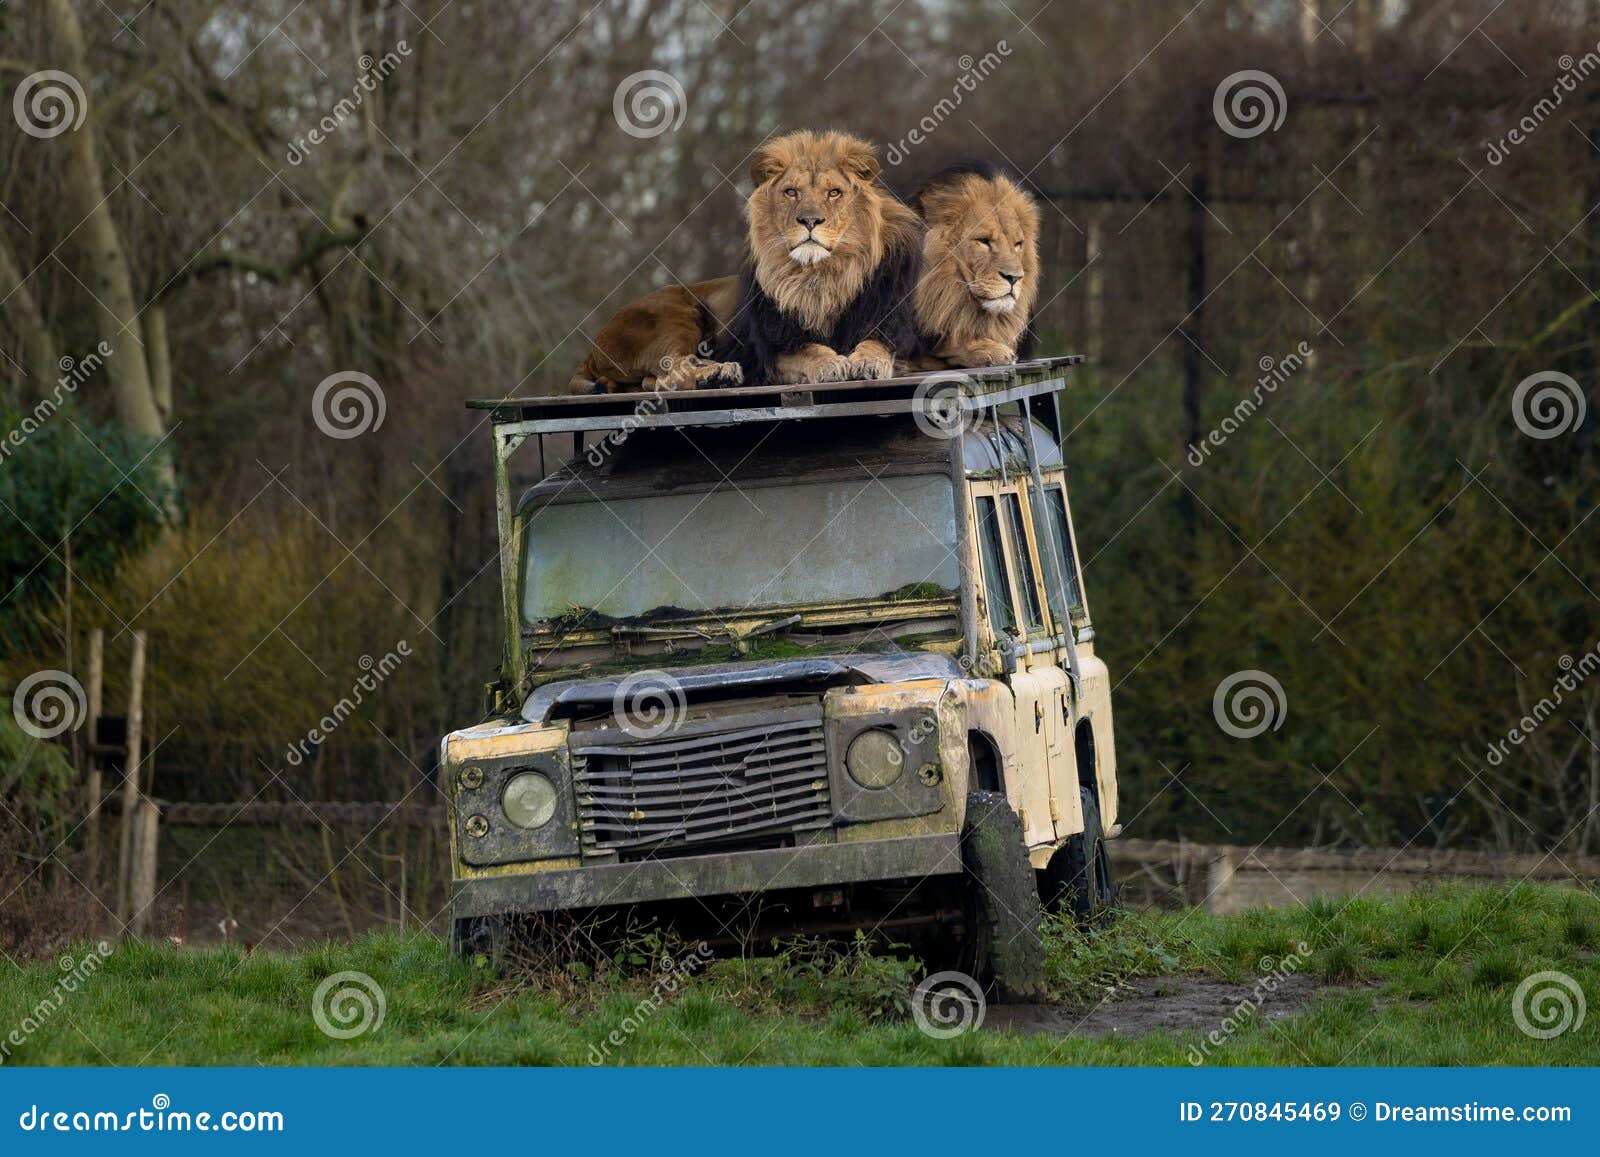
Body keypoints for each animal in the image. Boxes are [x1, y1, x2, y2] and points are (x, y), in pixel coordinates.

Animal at [721, 130, 924, 385]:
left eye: (834, 193)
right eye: (791, 192)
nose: (810, 220)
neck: (821, 276)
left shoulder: (890, 321)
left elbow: (876, 343)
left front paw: (869, 361)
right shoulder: (778, 347)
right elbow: (809, 350)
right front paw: (830, 363)